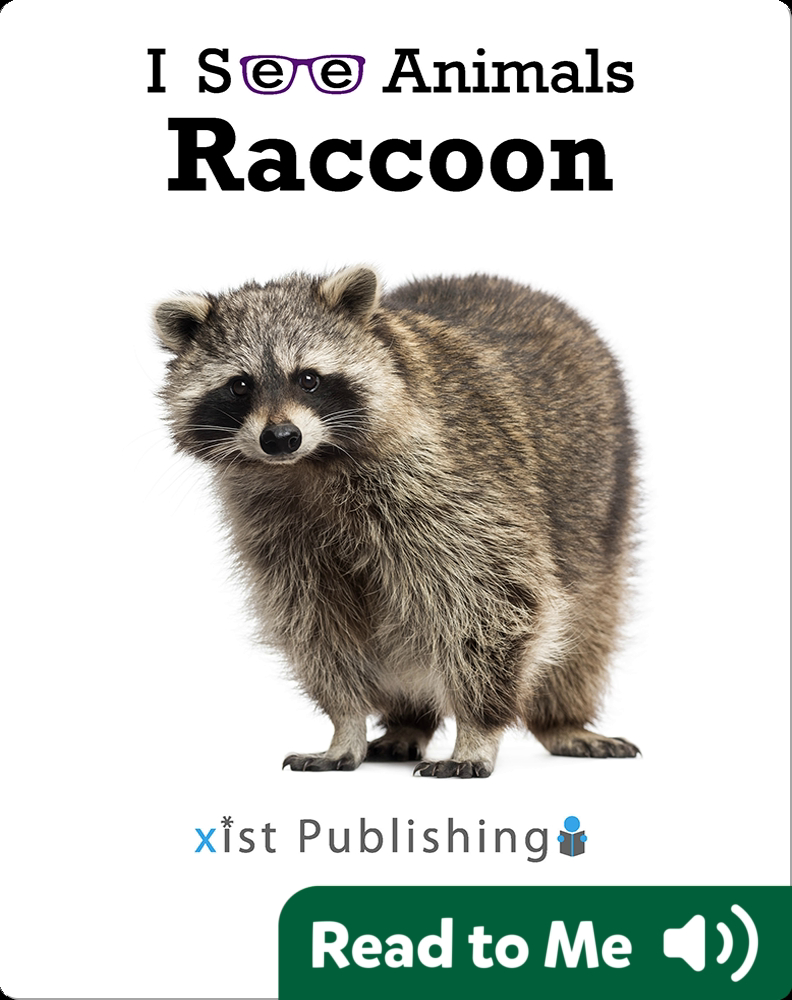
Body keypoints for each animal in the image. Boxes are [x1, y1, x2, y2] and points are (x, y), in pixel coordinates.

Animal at [154, 267, 640, 778]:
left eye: (308, 378)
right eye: (240, 385)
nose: (281, 438)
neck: (308, 466)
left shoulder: (455, 483)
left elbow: (495, 601)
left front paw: (478, 729)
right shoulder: (275, 527)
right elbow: (315, 623)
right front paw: (346, 723)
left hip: (604, 492)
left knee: (589, 617)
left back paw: (562, 717)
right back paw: (409, 720)